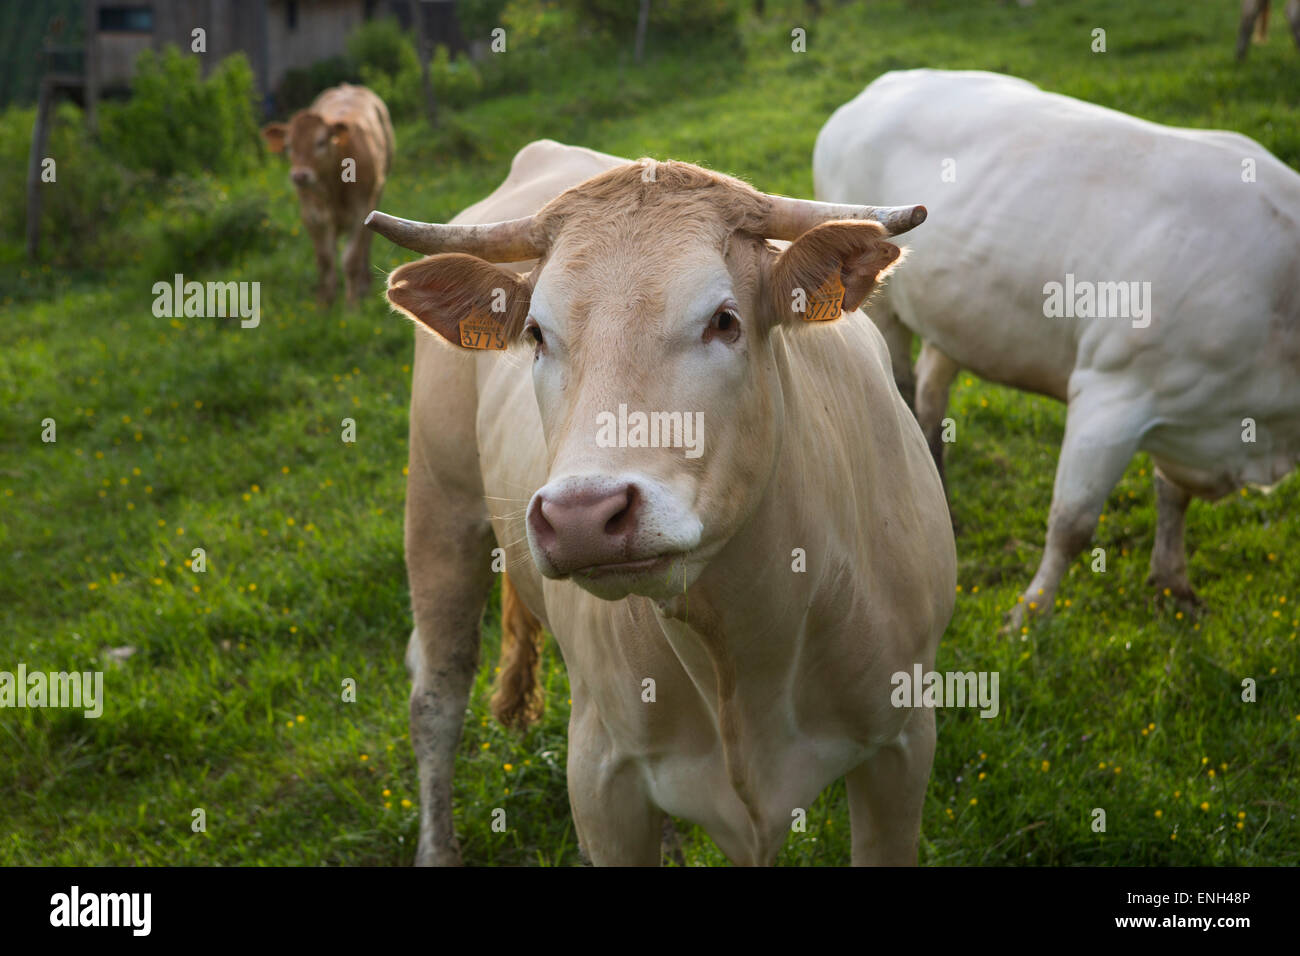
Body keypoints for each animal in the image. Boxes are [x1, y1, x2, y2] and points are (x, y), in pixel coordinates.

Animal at [261, 84, 395, 306]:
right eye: (289, 146)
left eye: (321, 142)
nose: (300, 175)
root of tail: (347, 87)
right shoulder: (311, 216)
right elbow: (324, 259)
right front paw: (325, 302)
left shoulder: (361, 213)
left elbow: (351, 260)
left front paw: (351, 305)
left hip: (377, 193)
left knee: (365, 245)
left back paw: (363, 284)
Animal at [365, 139, 956, 866]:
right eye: (535, 334)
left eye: (724, 321)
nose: (582, 519)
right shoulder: (599, 778)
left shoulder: (902, 746)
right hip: (439, 508)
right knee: (437, 695)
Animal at [814, 69, 1300, 629]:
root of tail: (880, 86)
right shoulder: (1113, 392)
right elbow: (1072, 522)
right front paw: (1029, 614)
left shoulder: (1183, 414)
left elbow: (1173, 497)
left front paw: (1174, 583)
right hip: (882, 308)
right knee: (905, 391)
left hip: (957, 313)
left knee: (932, 395)